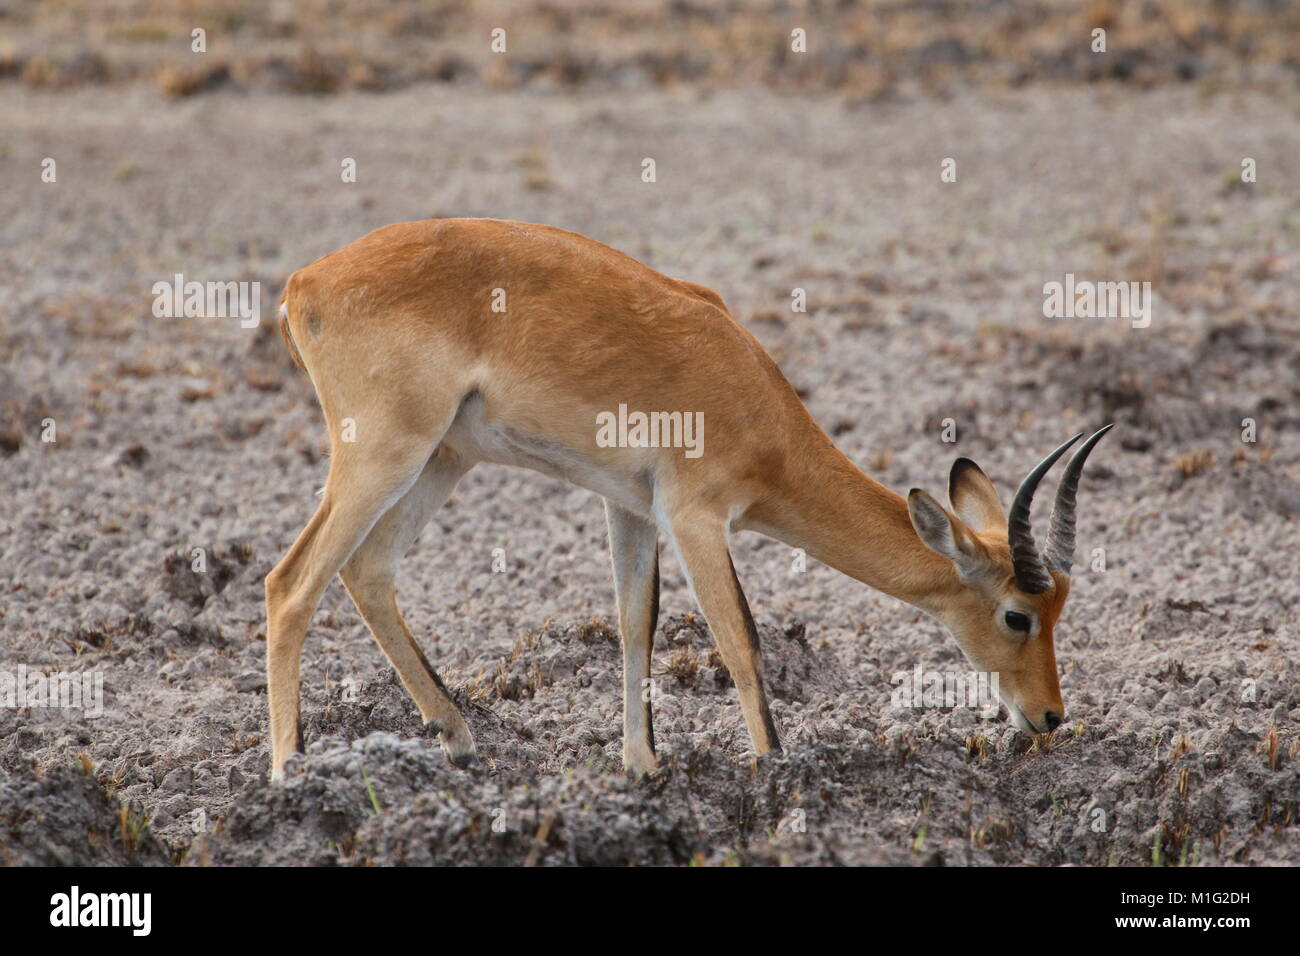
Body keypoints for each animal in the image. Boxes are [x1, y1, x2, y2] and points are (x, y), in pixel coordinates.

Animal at [266, 218, 1112, 781]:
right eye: (1018, 614)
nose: (1050, 716)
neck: (757, 406)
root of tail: (304, 281)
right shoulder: (696, 515)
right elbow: (740, 639)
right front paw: (773, 771)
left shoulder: (633, 507)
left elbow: (634, 623)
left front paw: (643, 767)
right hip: (384, 454)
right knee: (291, 583)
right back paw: (288, 770)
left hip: (443, 456)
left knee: (367, 570)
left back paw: (456, 735)